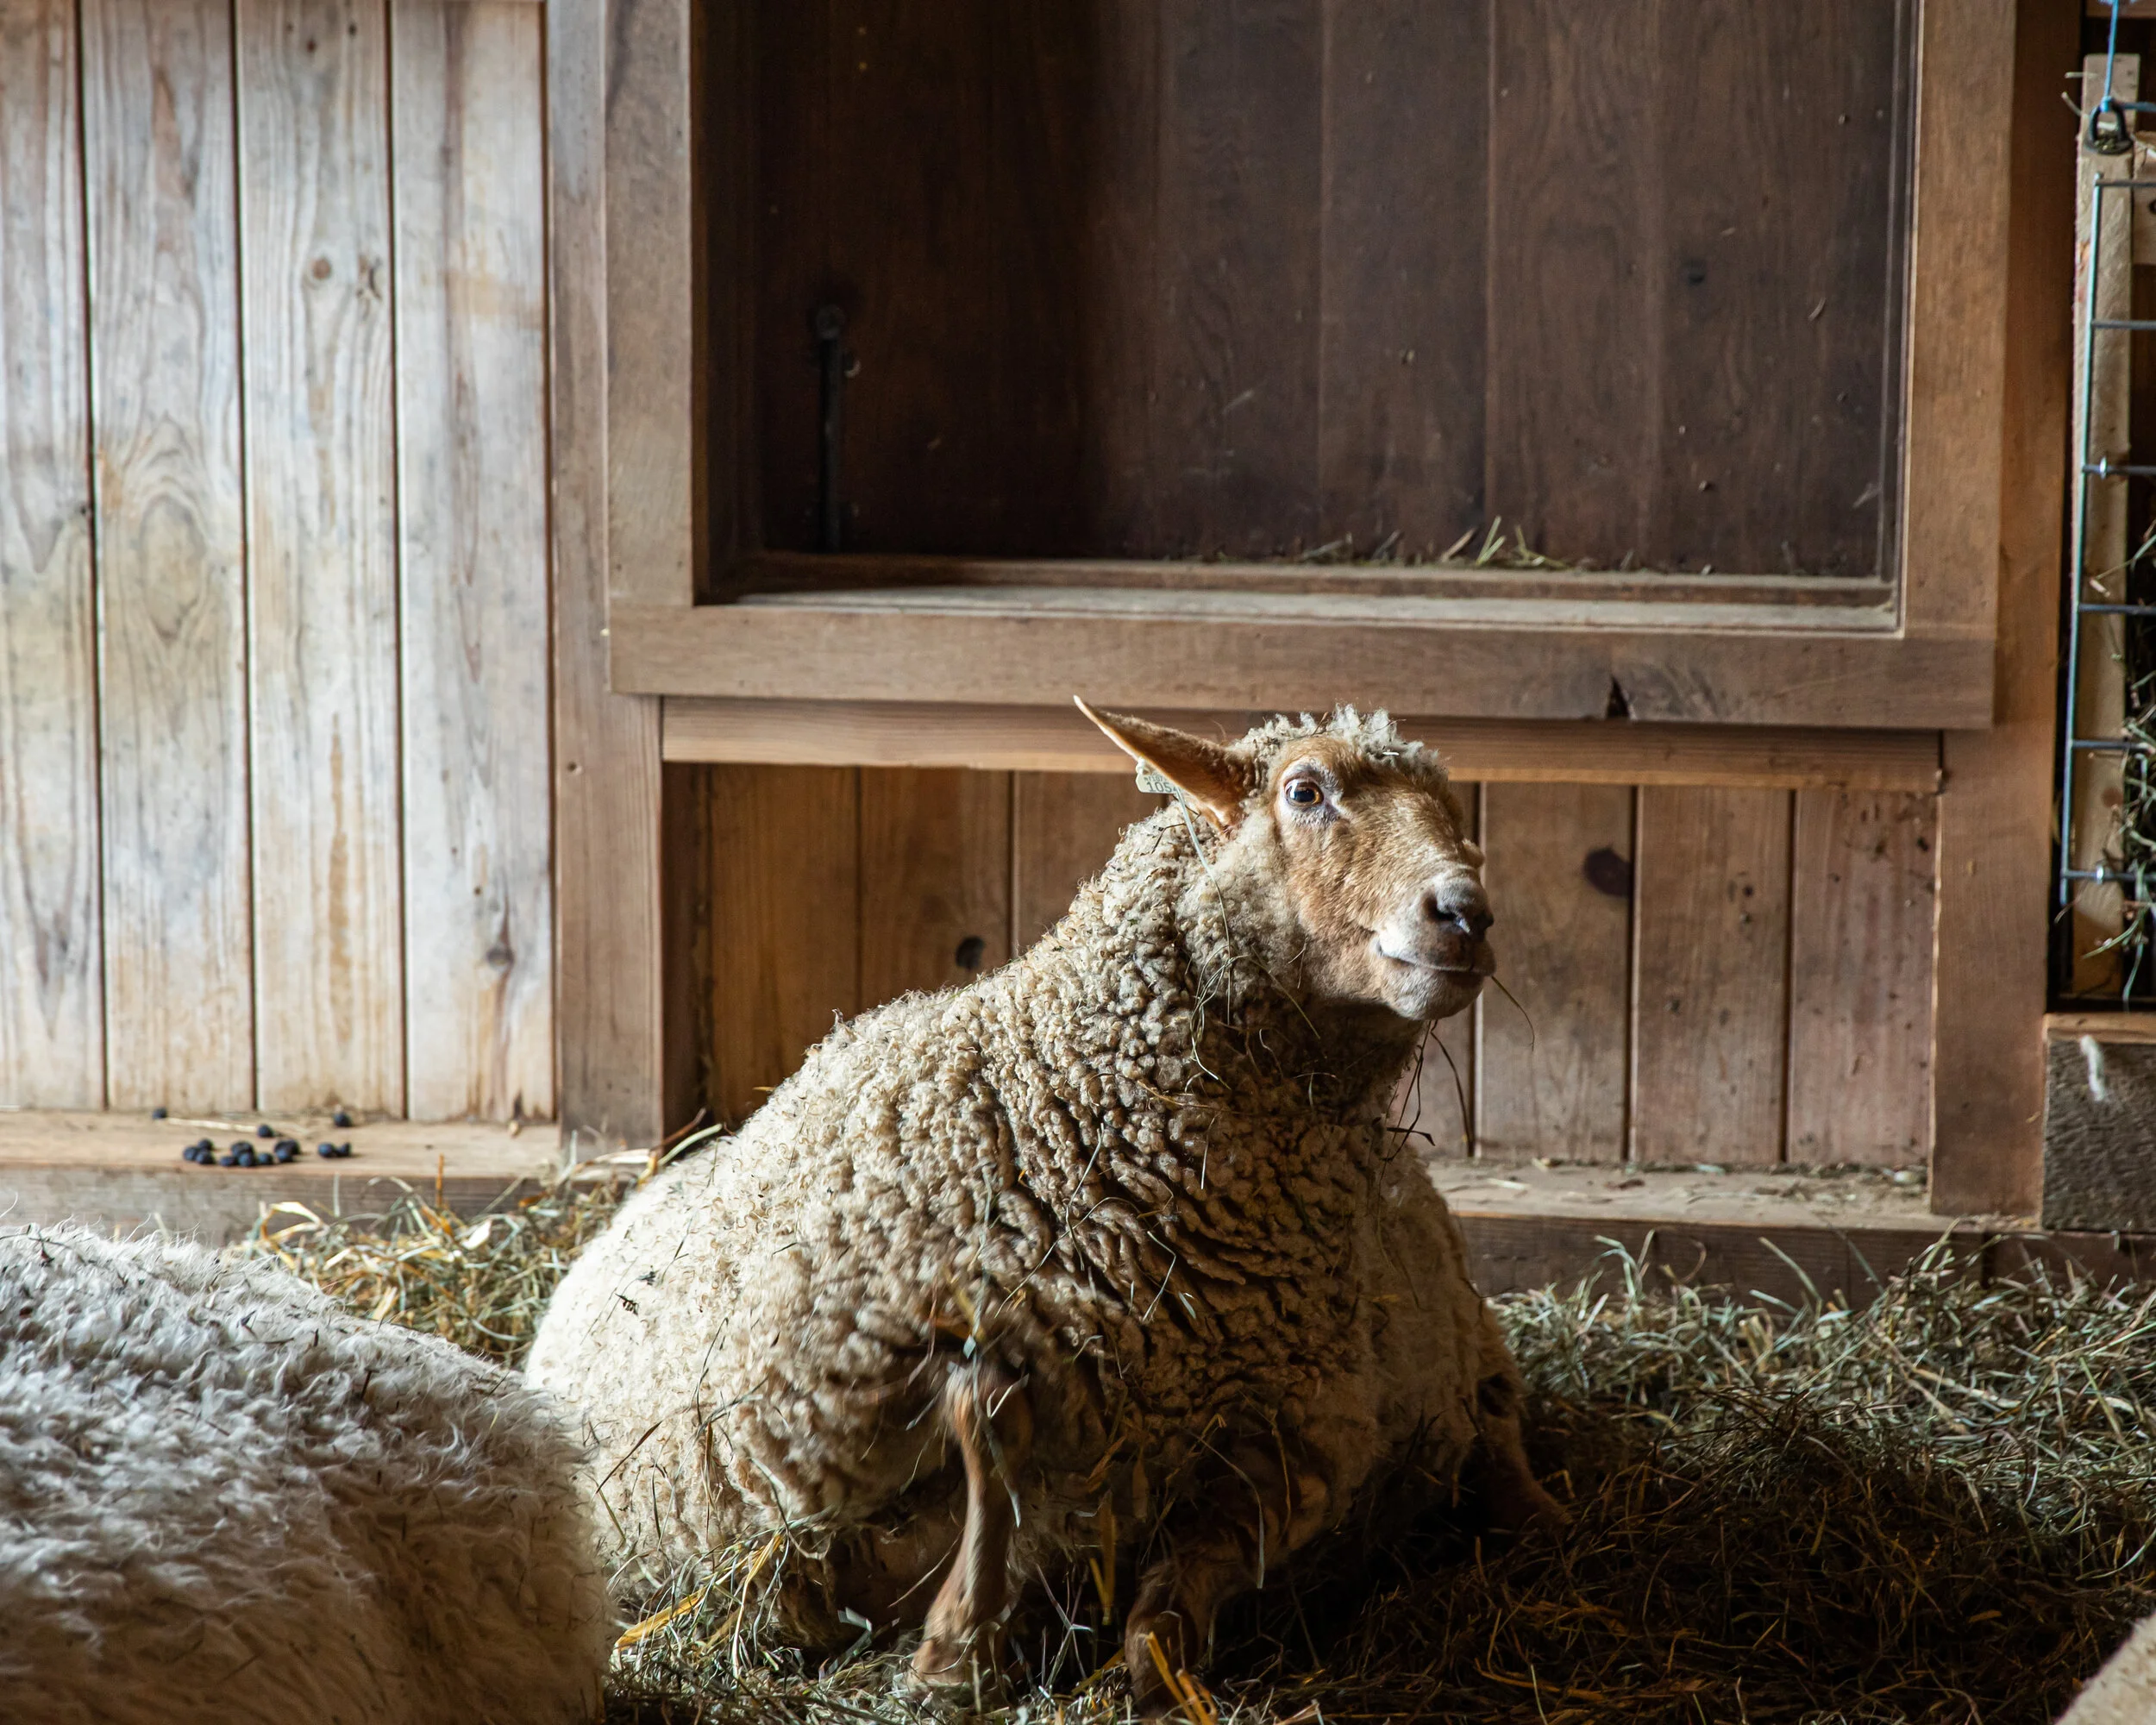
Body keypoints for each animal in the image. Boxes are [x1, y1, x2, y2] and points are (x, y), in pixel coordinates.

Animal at [528, 701, 1561, 1712]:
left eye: (1453, 811)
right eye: (1305, 791)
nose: (1465, 913)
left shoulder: (1302, 1447)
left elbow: (1163, 1615)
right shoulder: (811, 1448)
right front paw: (971, 1630)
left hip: (1471, 1349)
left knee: (1498, 1440)